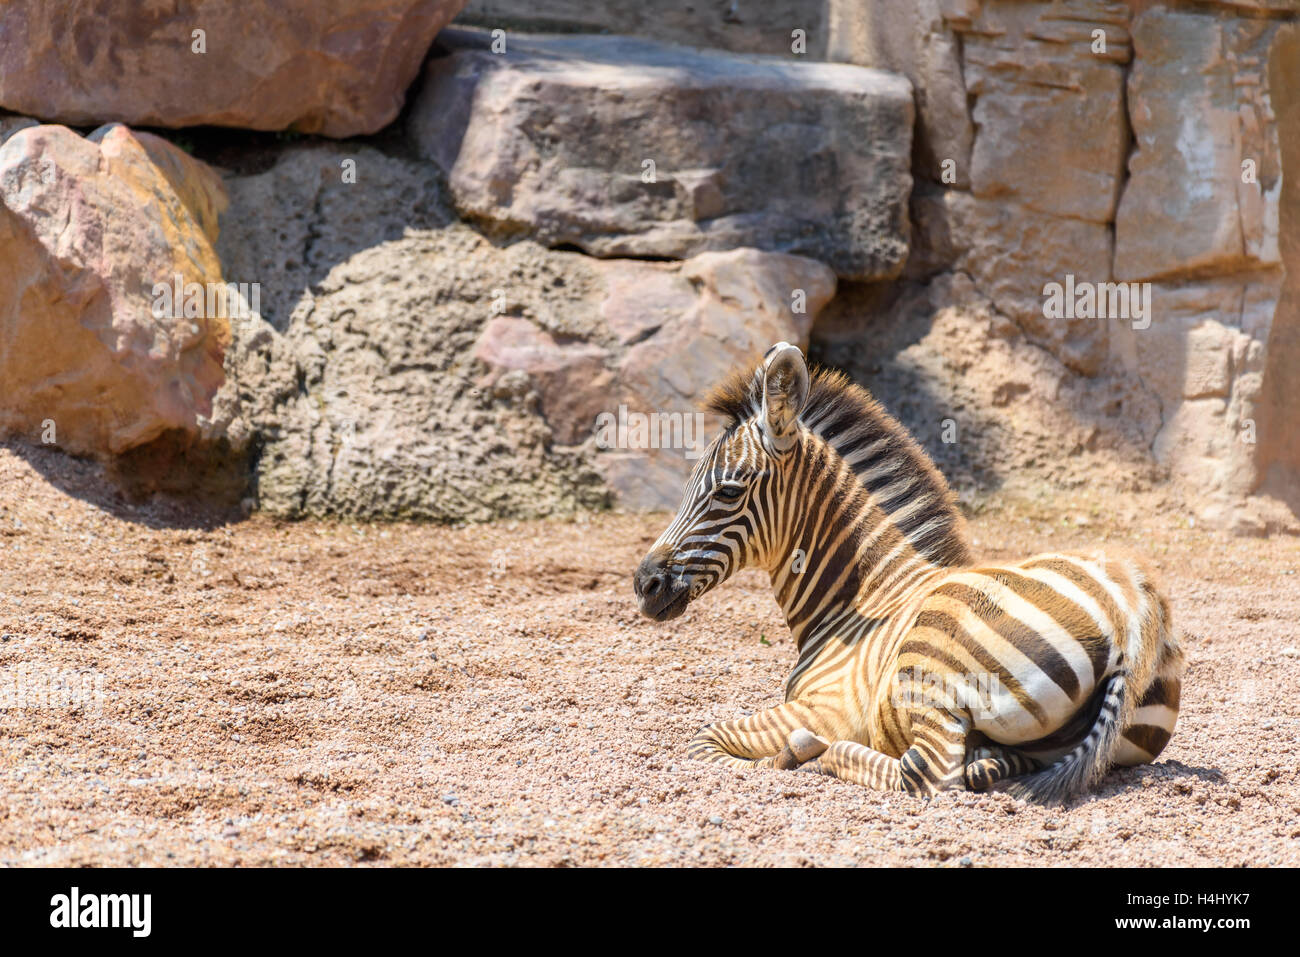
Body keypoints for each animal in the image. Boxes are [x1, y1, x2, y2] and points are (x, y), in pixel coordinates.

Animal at [633, 342, 1185, 803]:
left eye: (728, 491)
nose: (644, 584)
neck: (859, 601)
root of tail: (1133, 611)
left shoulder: (821, 708)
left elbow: (704, 742)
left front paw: (788, 755)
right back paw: (989, 762)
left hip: (931, 664)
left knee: (924, 773)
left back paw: (812, 755)